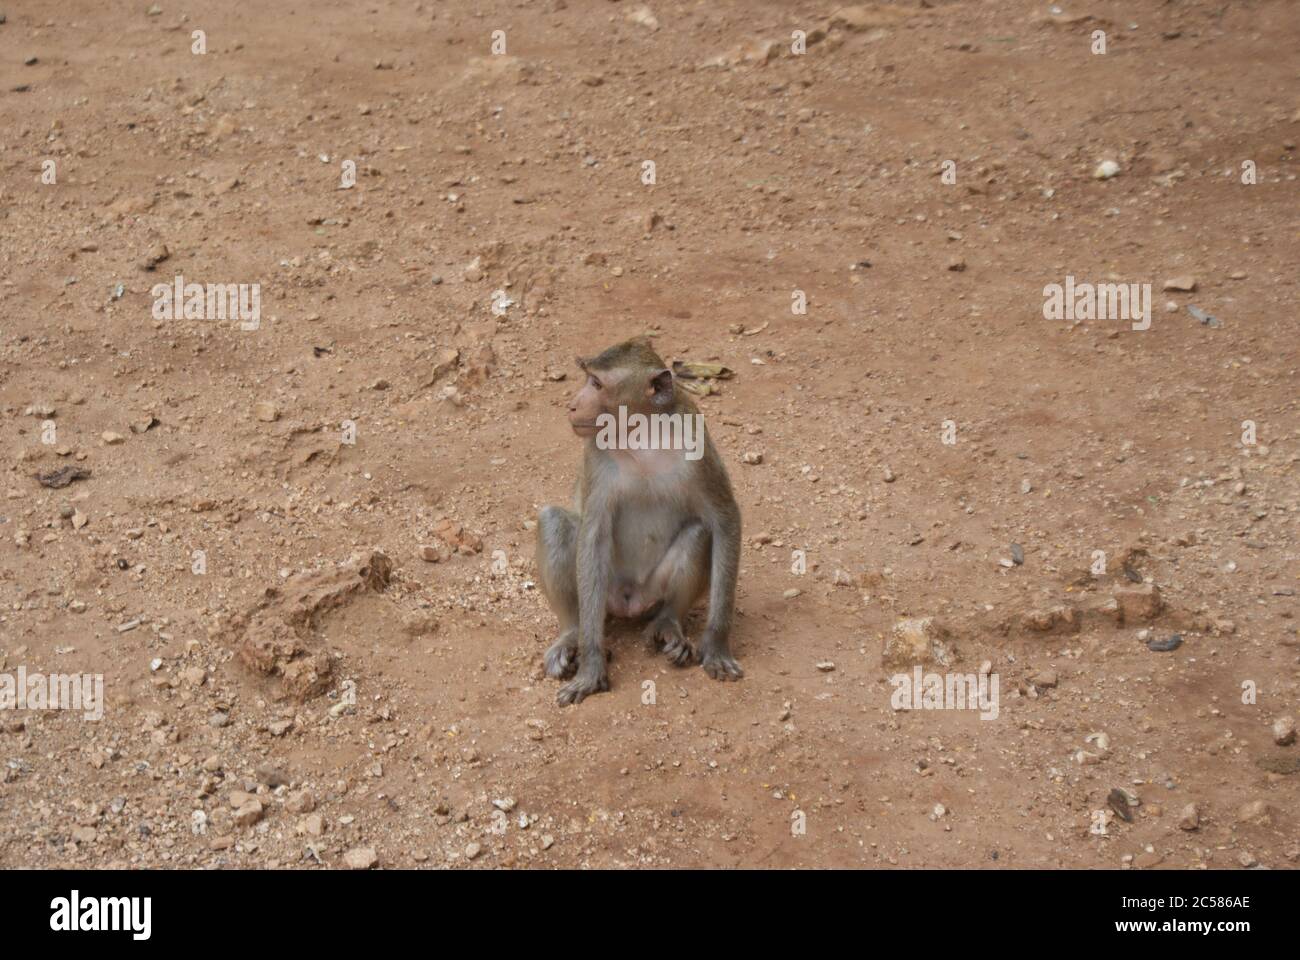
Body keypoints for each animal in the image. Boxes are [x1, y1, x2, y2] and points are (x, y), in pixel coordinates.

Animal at [535, 336, 743, 705]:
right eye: (589, 378)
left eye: (597, 383)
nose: (573, 405)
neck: (642, 437)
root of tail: (629, 603)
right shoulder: (596, 454)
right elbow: (593, 537)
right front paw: (591, 666)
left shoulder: (698, 443)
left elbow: (724, 521)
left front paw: (717, 646)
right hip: (605, 594)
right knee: (554, 521)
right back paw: (572, 633)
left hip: (651, 594)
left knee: (700, 532)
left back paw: (669, 624)